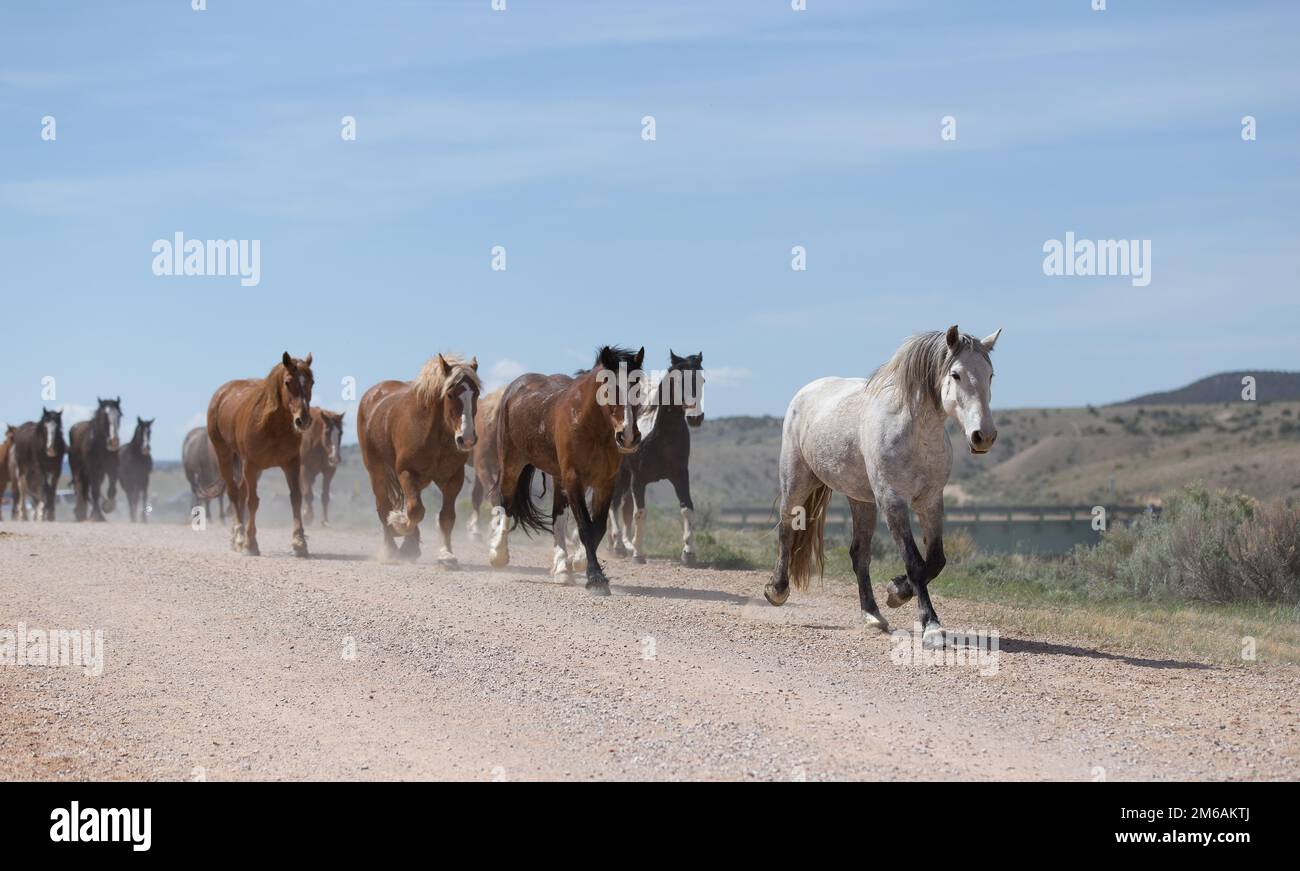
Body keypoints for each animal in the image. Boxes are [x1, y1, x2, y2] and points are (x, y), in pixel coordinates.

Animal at [207, 352, 315, 557]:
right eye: (288, 382)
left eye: (312, 382)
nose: (303, 419)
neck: (271, 426)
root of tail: (222, 393)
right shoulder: (250, 465)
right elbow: (252, 502)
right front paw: (250, 544)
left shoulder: (291, 463)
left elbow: (295, 497)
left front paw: (299, 542)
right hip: (224, 456)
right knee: (234, 493)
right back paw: (239, 536)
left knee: (240, 492)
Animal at [357, 354, 480, 564]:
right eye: (450, 394)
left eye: (477, 394)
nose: (467, 438)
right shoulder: (407, 472)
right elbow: (414, 510)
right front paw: (399, 525)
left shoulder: (453, 479)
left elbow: (446, 517)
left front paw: (446, 553)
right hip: (377, 472)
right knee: (384, 506)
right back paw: (391, 548)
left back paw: (410, 545)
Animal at [487, 345, 645, 594]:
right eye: (609, 387)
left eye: (638, 387)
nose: (628, 436)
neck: (590, 425)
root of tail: (515, 388)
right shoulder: (574, 479)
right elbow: (585, 527)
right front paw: (596, 578)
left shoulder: (605, 482)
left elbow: (597, 527)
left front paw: (578, 562)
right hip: (512, 464)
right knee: (507, 504)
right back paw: (499, 555)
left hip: (557, 477)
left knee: (557, 517)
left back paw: (562, 568)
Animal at [608, 350, 705, 565]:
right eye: (678, 380)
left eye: (702, 380)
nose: (695, 417)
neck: (662, 437)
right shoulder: (638, 480)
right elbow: (640, 513)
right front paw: (638, 553)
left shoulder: (680, 476)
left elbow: (687, 509)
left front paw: (689, 553)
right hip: (619, 475)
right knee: (614, 503)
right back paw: (618, 546)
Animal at [764, 325, 1001, 647]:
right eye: (956, 374)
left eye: (990, 375)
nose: (983, 436)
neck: (914, 434)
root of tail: (807, 392)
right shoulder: (893, 502)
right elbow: (915, 562)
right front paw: (931, 626)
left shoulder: (930, 502)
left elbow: (935, 560)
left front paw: (897, 591)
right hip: (796, 482)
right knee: (787, 530)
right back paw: (777, 590)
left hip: (861, 500)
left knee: (859, 554)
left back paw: (872, 614)